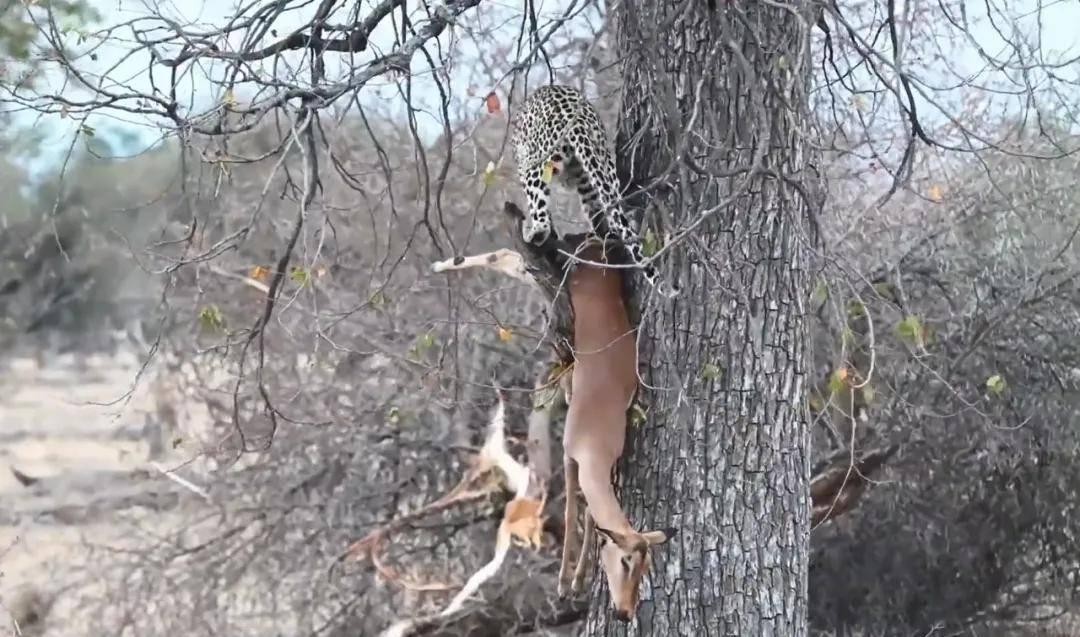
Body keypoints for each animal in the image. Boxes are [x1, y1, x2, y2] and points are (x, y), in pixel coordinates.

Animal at [511, 84, 679, 298]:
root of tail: (574, 114)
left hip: (537, 164)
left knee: (541, 214)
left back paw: (535, 233)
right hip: (599, 162)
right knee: (610, 211)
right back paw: (604, 235)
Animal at [558, 238, 677, 623]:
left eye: (646, 567)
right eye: (626, 561)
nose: (625, 612)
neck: (593, 441)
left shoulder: (607, 466)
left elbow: (592, 518)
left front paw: (577, 582)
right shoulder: (569, 456)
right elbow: (570, 512)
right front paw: (564, 584)